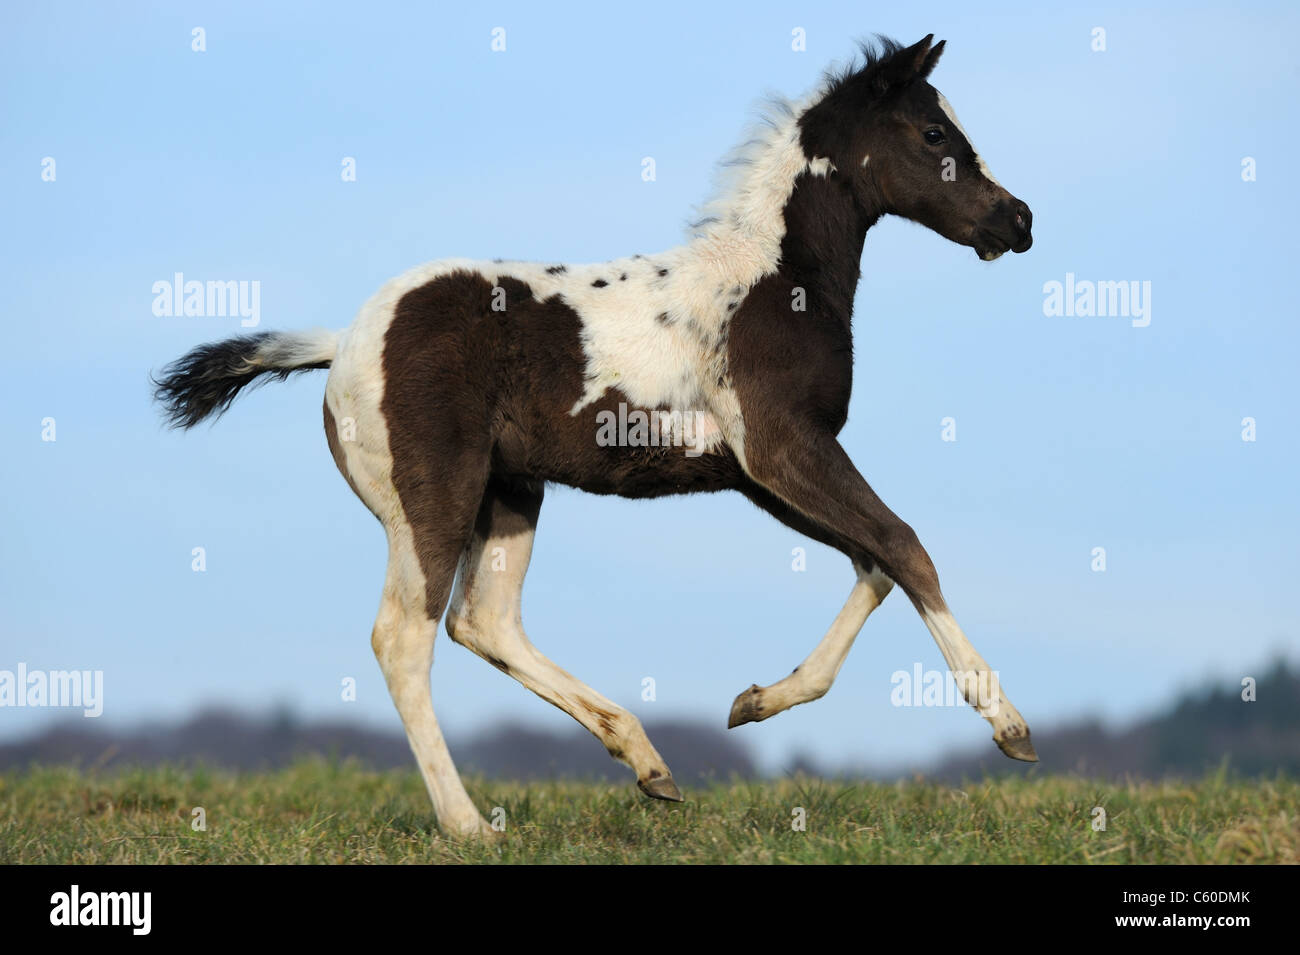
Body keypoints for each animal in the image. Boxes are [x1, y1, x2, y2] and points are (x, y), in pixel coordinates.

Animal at [154, 34, 1036, 838]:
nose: (1018, 219)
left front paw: (756, 700)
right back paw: (468, 822)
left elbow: (874, 562)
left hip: (510, 490)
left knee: (484, 619)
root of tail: (342, 341)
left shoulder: (760, 475)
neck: (772, 282)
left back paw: (646, 761)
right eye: (934, 133)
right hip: (433, 495)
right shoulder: (784, 449)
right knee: (405, 636)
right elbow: (905, 544)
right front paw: (1009, 725)